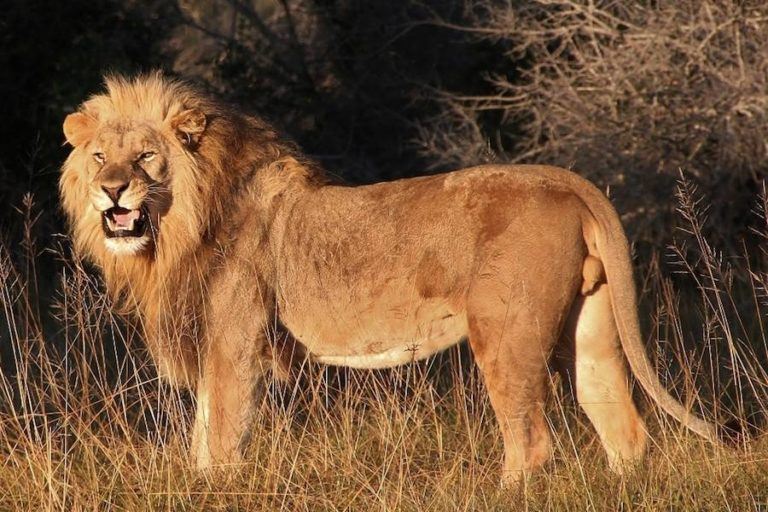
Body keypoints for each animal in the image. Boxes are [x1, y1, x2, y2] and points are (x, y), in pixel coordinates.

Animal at [60, 73, 720, 484]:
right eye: (99, 157)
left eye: (146, 156)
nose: (111, 190)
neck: (173, 232)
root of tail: (562, 180)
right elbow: (202, 435)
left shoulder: (235, 341)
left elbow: (220, 435)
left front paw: (216, 487)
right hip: (590, 328)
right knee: (623, 428)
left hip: (506, 332)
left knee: (531, 445)